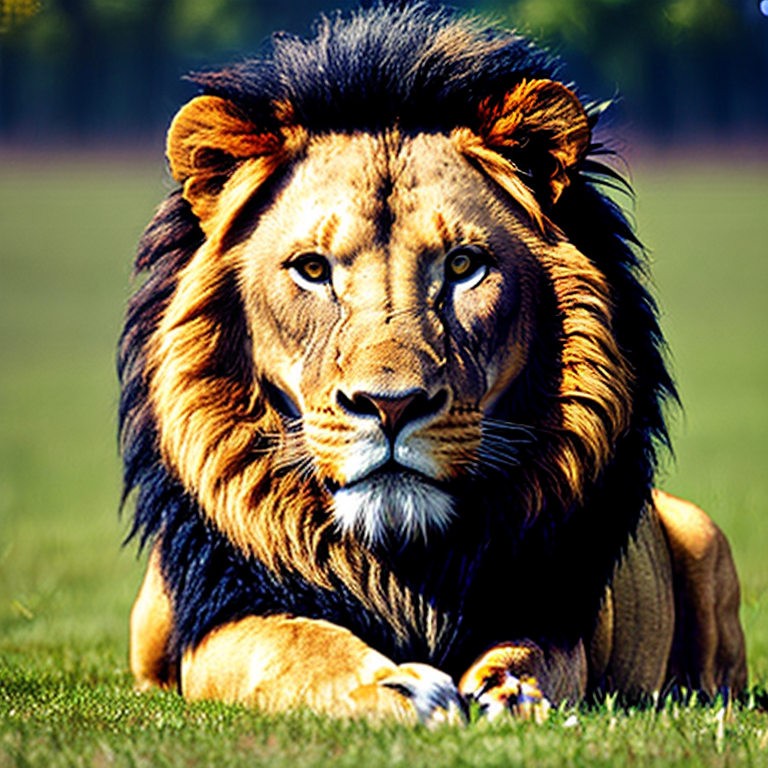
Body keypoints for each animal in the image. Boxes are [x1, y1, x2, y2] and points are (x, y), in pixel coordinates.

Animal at [120, 3, 747, 723]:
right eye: (313, 270)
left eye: (464, 265)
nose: (390, 406)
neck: (401, 560)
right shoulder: (222, 617)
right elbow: (293, 647)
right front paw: (392, 687)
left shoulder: (552, 614)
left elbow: (527, 653)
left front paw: (508, 691)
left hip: (703, 534)